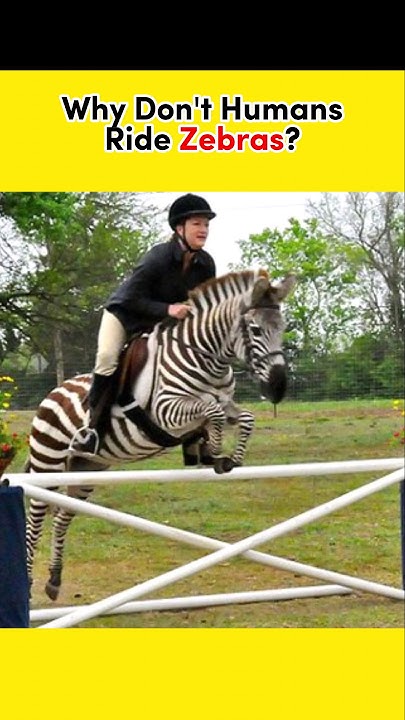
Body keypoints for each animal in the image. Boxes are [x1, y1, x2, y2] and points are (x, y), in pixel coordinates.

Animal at [25, 268, 296, 600]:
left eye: (282, 328)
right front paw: (215, 451)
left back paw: (54, 580)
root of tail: (52, 393)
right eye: (255, 329)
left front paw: (229, 457)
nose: (278, 388)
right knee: (35, 517)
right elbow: (212, 412)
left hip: (87, 468)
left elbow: (244, 418)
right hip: (48, 462)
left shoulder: (224, 405)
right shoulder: (167, 411)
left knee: (63, 515)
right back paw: (27, 582)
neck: (207, 359)